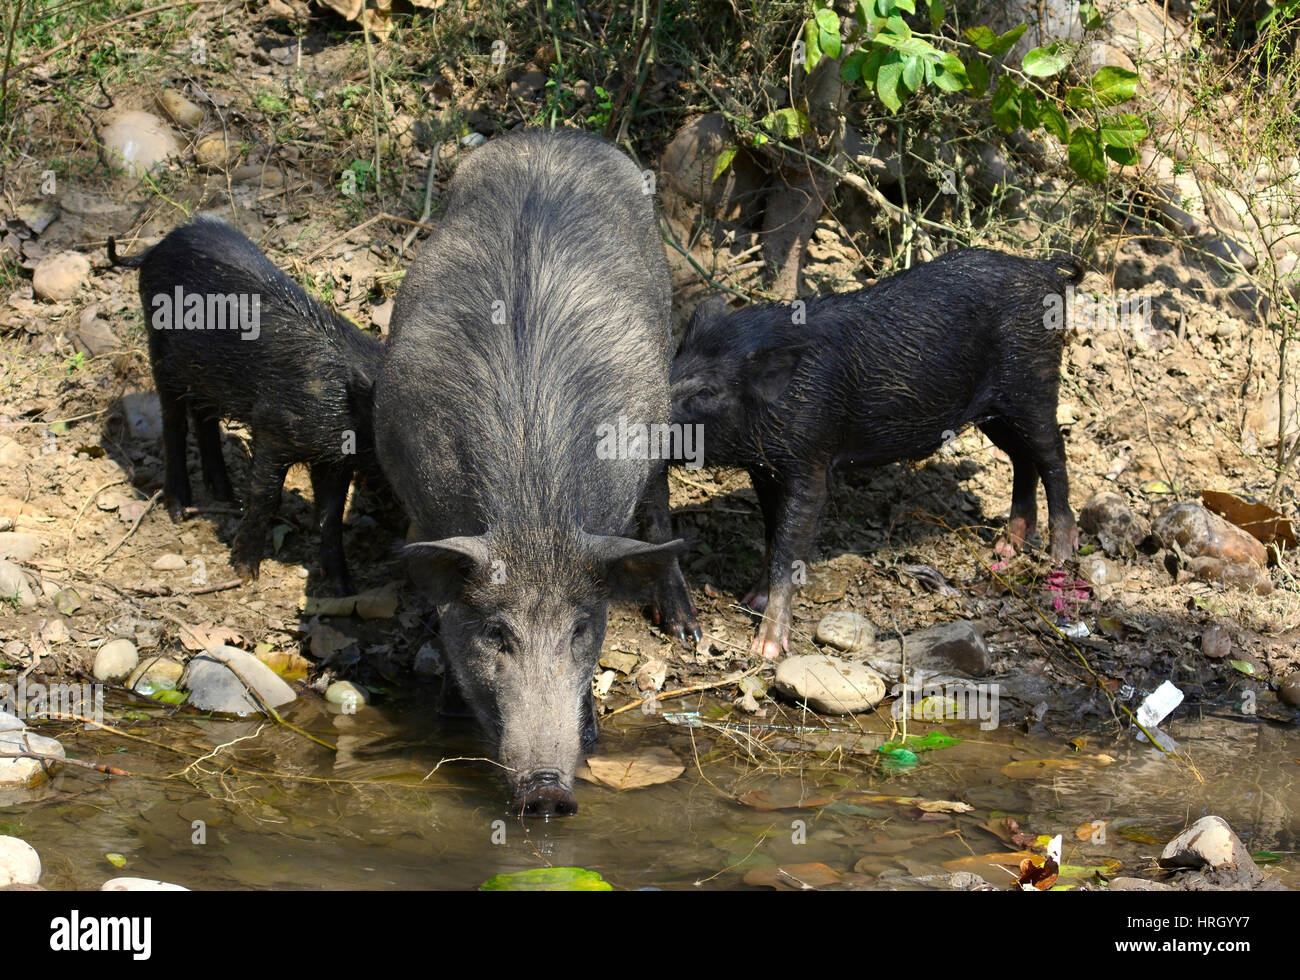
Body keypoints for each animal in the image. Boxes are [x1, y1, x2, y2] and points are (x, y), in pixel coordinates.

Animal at [108, 218, 382, 596]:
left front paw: (344, 588)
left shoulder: (335, 460)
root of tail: (155, 247)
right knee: (173, 422)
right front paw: (245, 572)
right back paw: (181, 510)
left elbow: (332, 515)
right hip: (161, 350)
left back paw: (223, 494)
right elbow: (264, 495)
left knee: (204, 418)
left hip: (204, 374)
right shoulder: (272, 429)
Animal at [373, 128, 698, 817]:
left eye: (579, 629)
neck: (531, 512)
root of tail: (555, 133)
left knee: (659, 503)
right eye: (497, 633)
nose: (548, 791)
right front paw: (448, 713)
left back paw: (686, 632)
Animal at [670, 247, 1081, 659]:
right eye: (673, 366)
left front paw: (765, 649)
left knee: (1054, 458)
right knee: (1022, 460)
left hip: (1034, 383)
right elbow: (773, 536)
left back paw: (1058, 554)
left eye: (706, 391)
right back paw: (1008, 548)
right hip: (995, 412)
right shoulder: (764, 470)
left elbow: (789, 547)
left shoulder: (809, 460)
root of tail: (1043, 268)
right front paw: (749, 600)